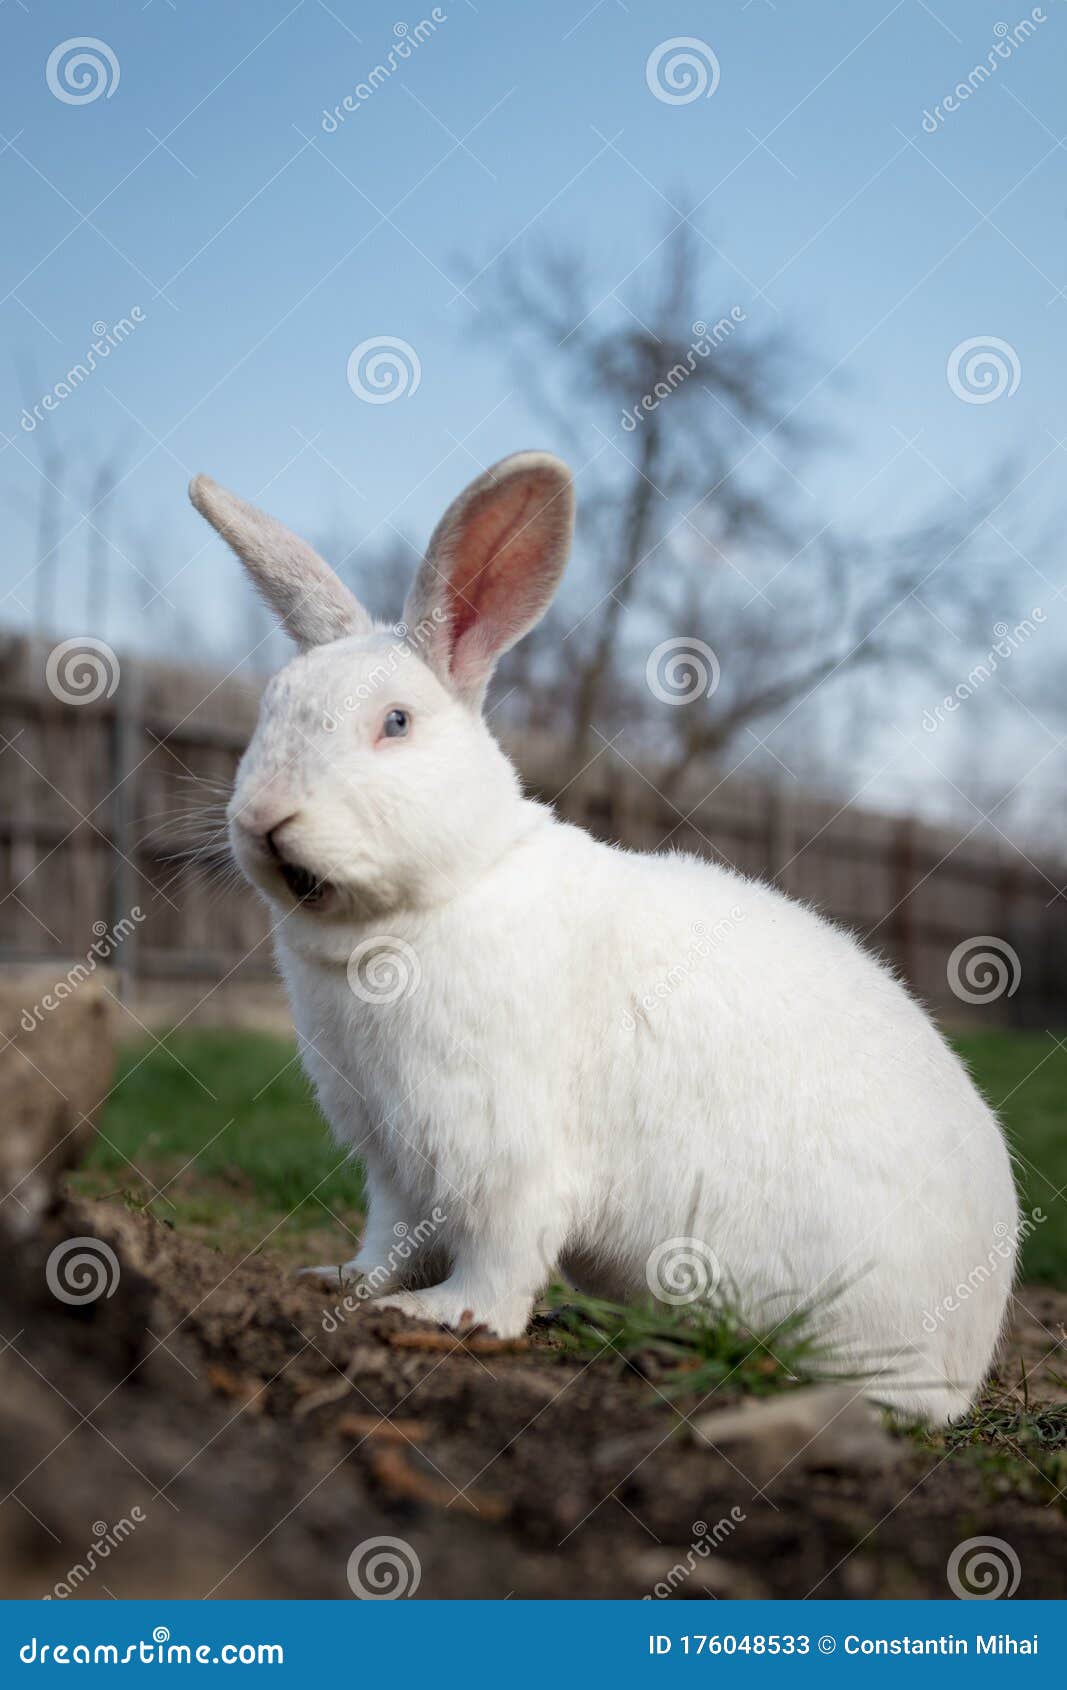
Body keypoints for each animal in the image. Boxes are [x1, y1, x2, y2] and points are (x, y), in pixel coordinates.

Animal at [190, 449, 1019, 1424]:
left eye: (395, 722)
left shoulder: (500, 1148)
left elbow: (502, 1251)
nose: (262, 819)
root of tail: (968, 1351)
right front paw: (342, 1283)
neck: (438, 896)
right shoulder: (392, 1160)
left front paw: (446, 1315)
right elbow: (389, 1237)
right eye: (270, 707)